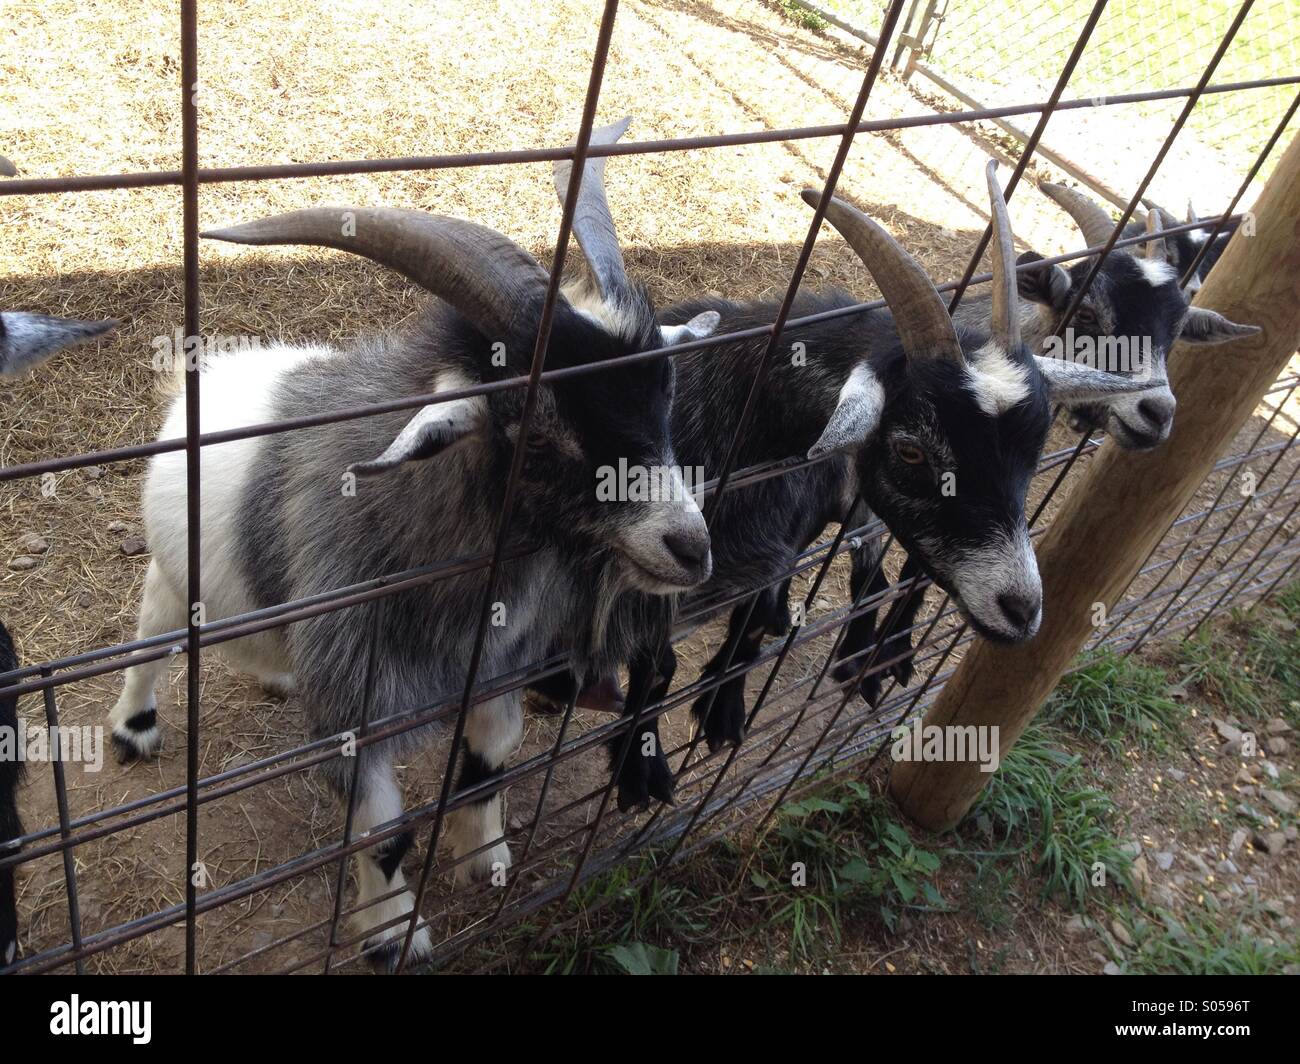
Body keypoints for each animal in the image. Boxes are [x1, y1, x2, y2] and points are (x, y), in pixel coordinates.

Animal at [106, 206, 718, 968]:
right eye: (537, 434)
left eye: (665, 398)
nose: (692, 548)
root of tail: (214, 374)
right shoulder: (355, 708)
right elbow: (387, 836)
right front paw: (394, 938)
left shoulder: (493, 672)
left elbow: (491, 759)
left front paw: (485, 857)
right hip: (173, 571)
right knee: (152, 631)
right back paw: (133, 727)